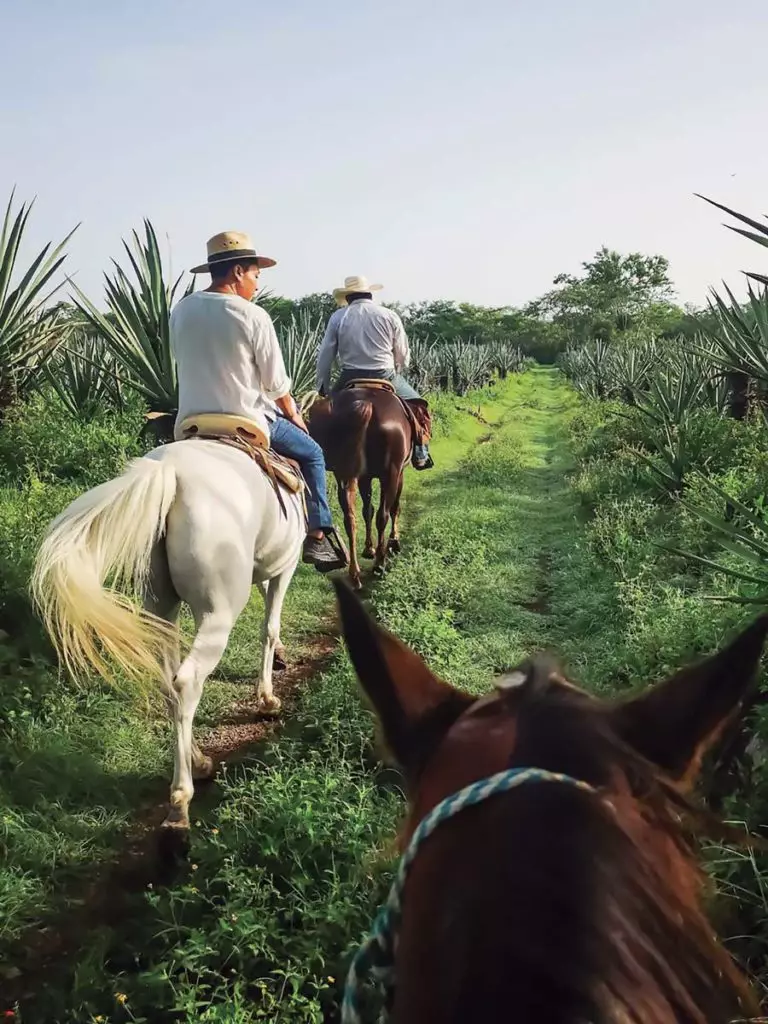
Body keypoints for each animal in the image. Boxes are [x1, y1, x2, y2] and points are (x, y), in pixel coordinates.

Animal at [30, 440, 307, 831]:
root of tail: (170, 469)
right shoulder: (286, 567)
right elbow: (270, 629)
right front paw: (267, 699)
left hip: (160, 607)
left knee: (169, 684)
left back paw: (198, 760)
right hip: (216, 613)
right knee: (187, 683)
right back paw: (180, 799)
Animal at [307, 385, 428, 593]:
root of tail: (367, 405)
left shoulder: (364, 476)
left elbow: (367, 510)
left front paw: (368, 548)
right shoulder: (399, 473)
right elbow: (393, 508)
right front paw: (394, 542)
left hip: (343, 474)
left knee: (350, 519)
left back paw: (354, 574)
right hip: (390, 473)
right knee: (383, 515)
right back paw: (380, 563)